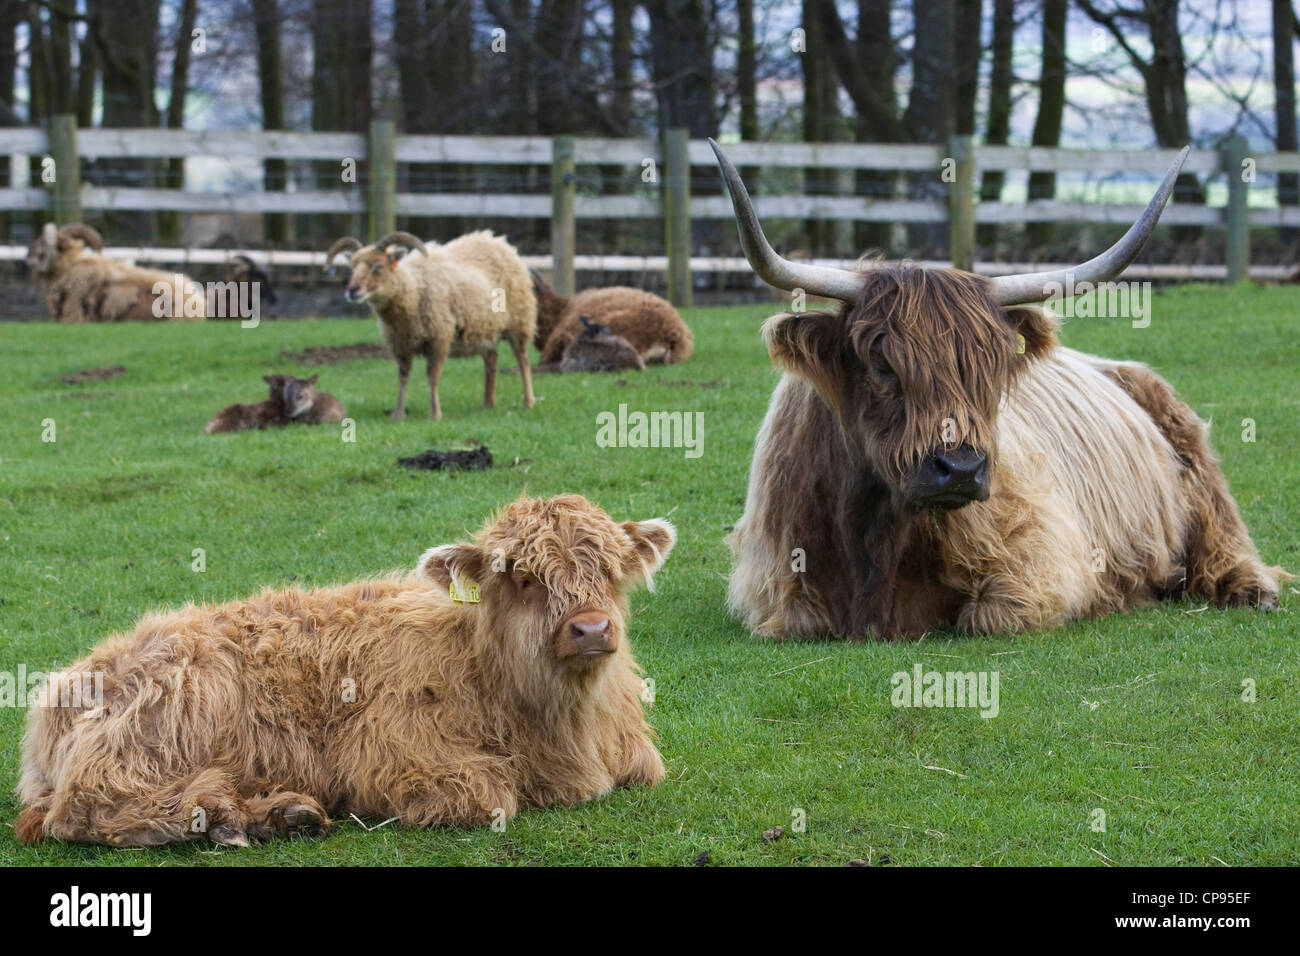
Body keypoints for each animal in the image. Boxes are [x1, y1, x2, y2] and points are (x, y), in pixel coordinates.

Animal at [15, 495, 674, 847]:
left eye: (610, 569)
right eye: (524, 577)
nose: (591, 629)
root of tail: (63, 688)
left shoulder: (635, 755)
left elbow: (647, 770)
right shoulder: (392, 754)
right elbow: (493, 797)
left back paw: (282, 814)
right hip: (155, 726)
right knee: (83, 811)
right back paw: (223, 815)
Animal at [709, 140, 1283, 640]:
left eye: (990, 366)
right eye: (882, 364)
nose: (960, 468)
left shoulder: (1043, 559)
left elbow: (989, 616)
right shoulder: (777, 593)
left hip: (1197, 467)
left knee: (1225, 537)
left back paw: (1250, 590)